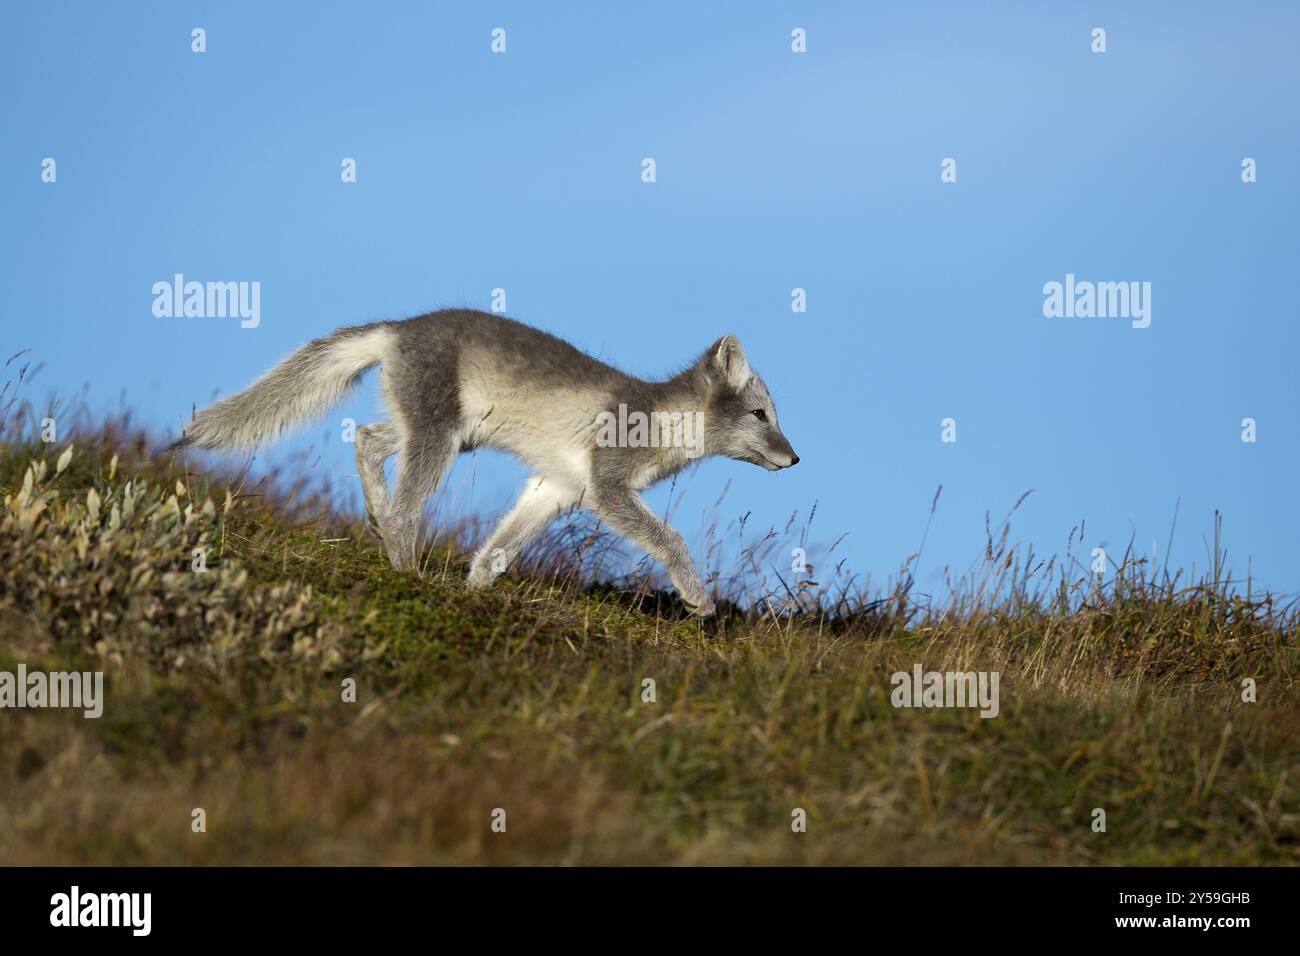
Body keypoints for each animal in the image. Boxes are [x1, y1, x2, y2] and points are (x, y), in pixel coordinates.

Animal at [171, 309, 799, 617]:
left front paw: (473, 595)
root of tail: (400, 327)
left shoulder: (558, 487)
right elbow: (670, 538)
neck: (662, 421)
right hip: (440, 439)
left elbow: (497, 550)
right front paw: (698, 599)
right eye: (761, 415)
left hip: (445, 434)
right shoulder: (606, 487)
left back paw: (376, 515)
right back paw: (405, 569)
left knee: (368, 440)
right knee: (406, 509)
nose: (795, 458)